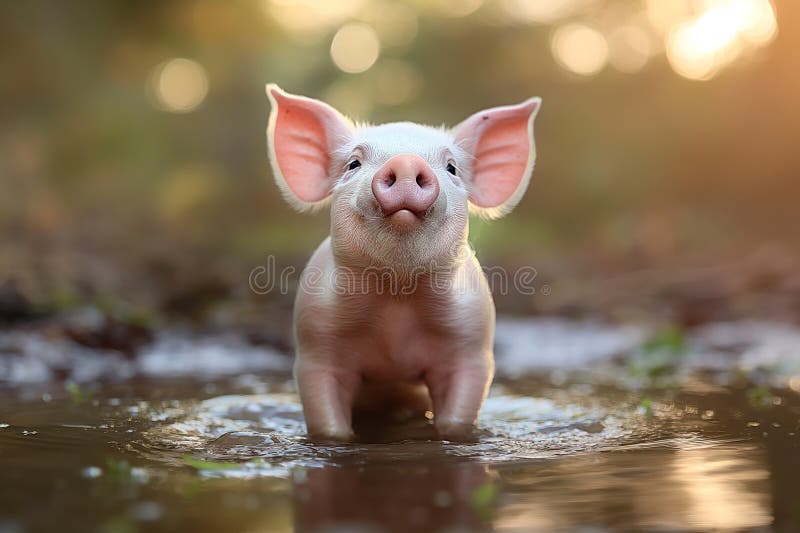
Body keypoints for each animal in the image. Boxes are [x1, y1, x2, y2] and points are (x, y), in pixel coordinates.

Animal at [265, 84, 541, 441]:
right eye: (353, 163)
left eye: (452, 168)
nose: (407, 162)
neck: (397, 295)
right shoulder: (316, 342)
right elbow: (328, 423)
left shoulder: (471, 343)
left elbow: (457, 418)